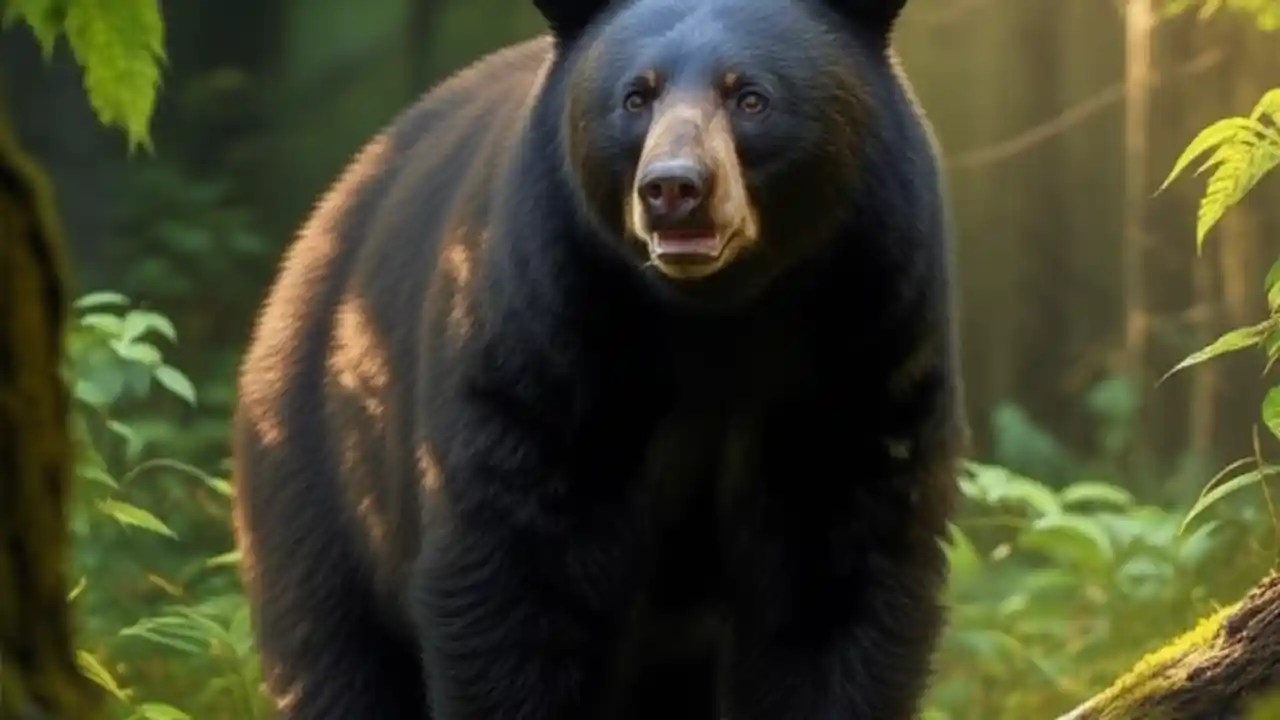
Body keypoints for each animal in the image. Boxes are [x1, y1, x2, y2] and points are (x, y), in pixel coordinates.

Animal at [230, 0, 968, 718]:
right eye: (635, 97)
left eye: (751, 97)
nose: (673, 189)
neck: (713, 319)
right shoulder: (542, 341)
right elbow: (520, 580)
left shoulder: (866, 346)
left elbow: (831, 587)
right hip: (318, 466)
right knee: (340, 652)